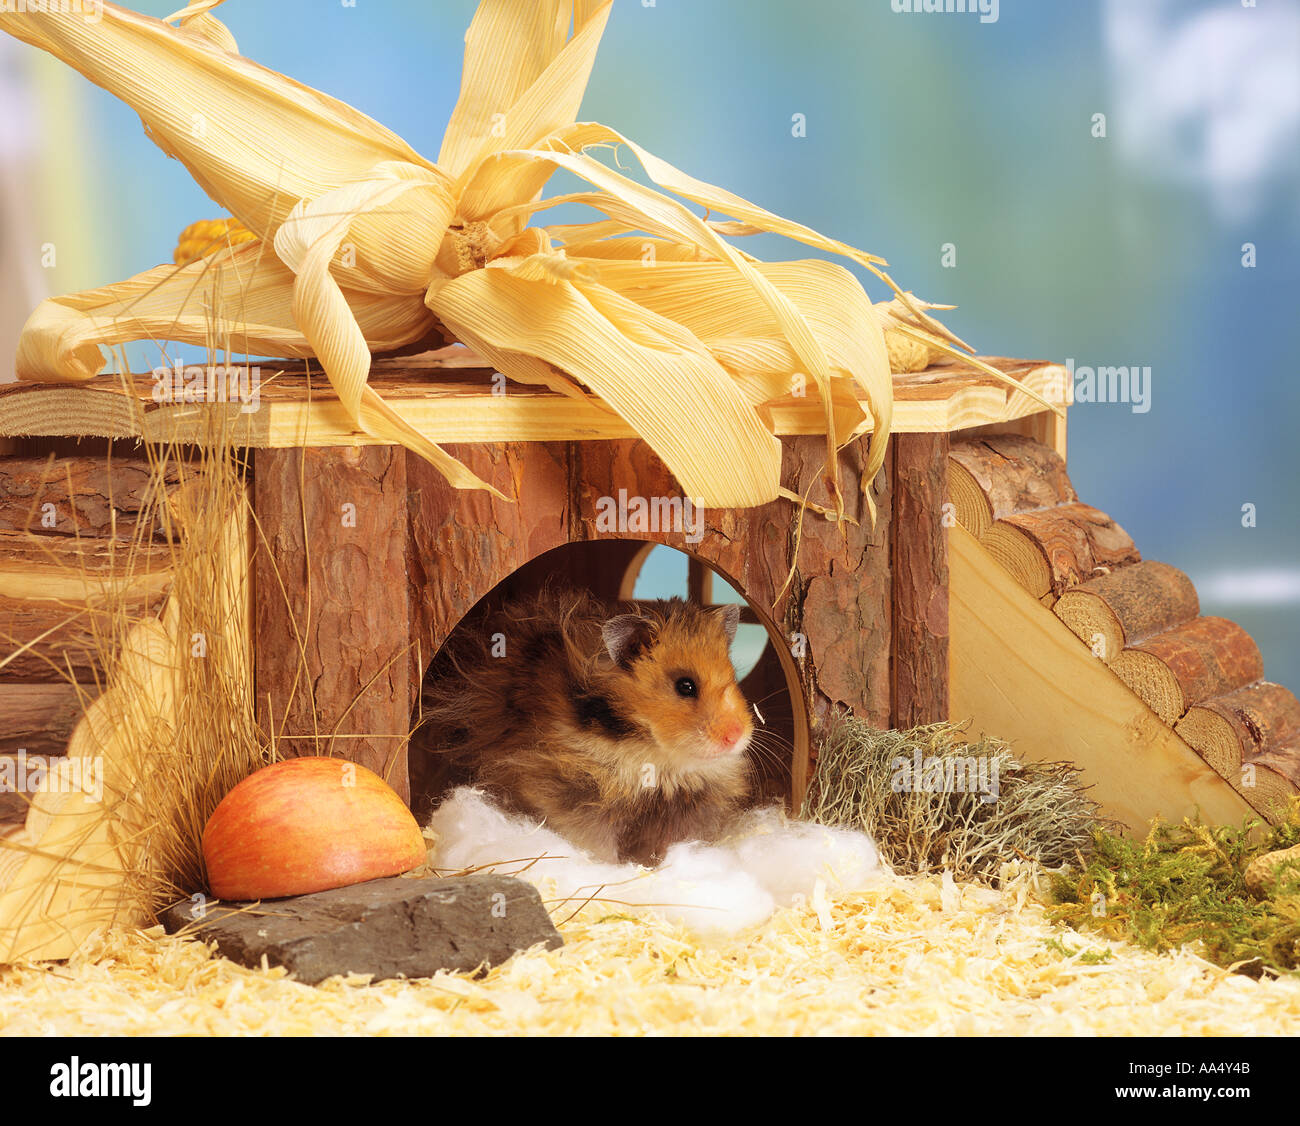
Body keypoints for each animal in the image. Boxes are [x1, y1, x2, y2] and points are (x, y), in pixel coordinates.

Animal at [411, 586, 755, 867]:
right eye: (685, 686)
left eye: (733, 677)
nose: (736, 736)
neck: (653, 753)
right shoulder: (575, 795)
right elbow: (599, 842)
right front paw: (613, 867)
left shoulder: (687, 807)